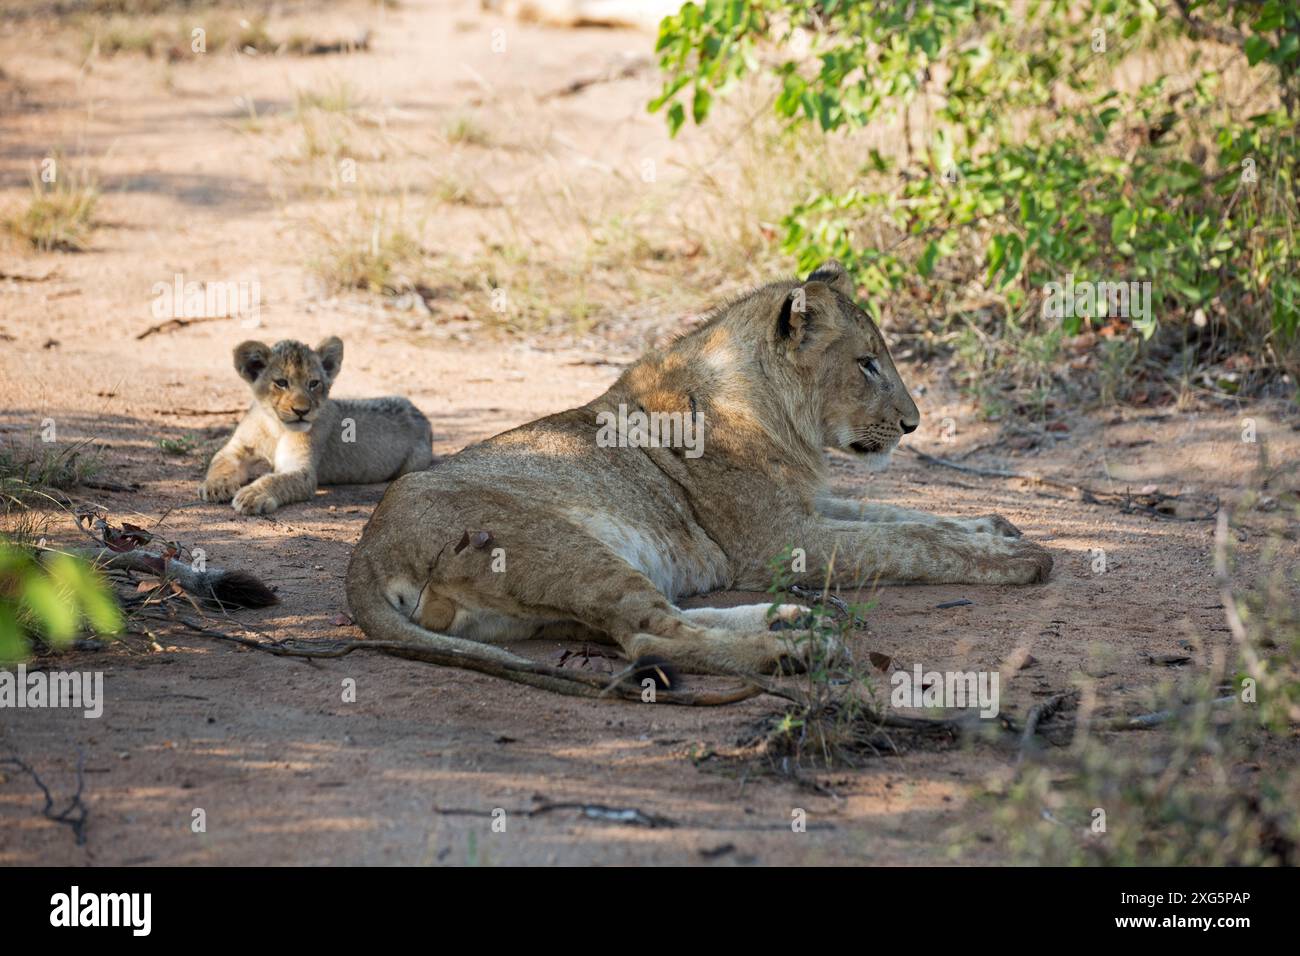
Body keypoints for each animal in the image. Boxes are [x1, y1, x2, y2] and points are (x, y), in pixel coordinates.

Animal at [200, 337, 434, 515]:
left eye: (313, 383)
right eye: (281, 382)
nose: (301, 411)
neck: (275, 427)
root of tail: (418, 411)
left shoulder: (302, 469)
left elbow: (278, 480)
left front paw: (252, 495)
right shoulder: (236, 448)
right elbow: (219, 461)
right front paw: (215, 487)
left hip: (414, 463)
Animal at [345, 261, 1052, 675]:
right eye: (867, 364)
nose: (913, 424)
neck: (772, 409)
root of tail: (366, 554)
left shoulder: (807, 506)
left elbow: (901, 513)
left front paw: (994, 527)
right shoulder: (778, 540)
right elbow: (908, 541)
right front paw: (1018, 558)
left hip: (543, 605)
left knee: (652, 623)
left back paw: (794, 620)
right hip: (559, 544)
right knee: (650, 636)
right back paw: (796, 647)